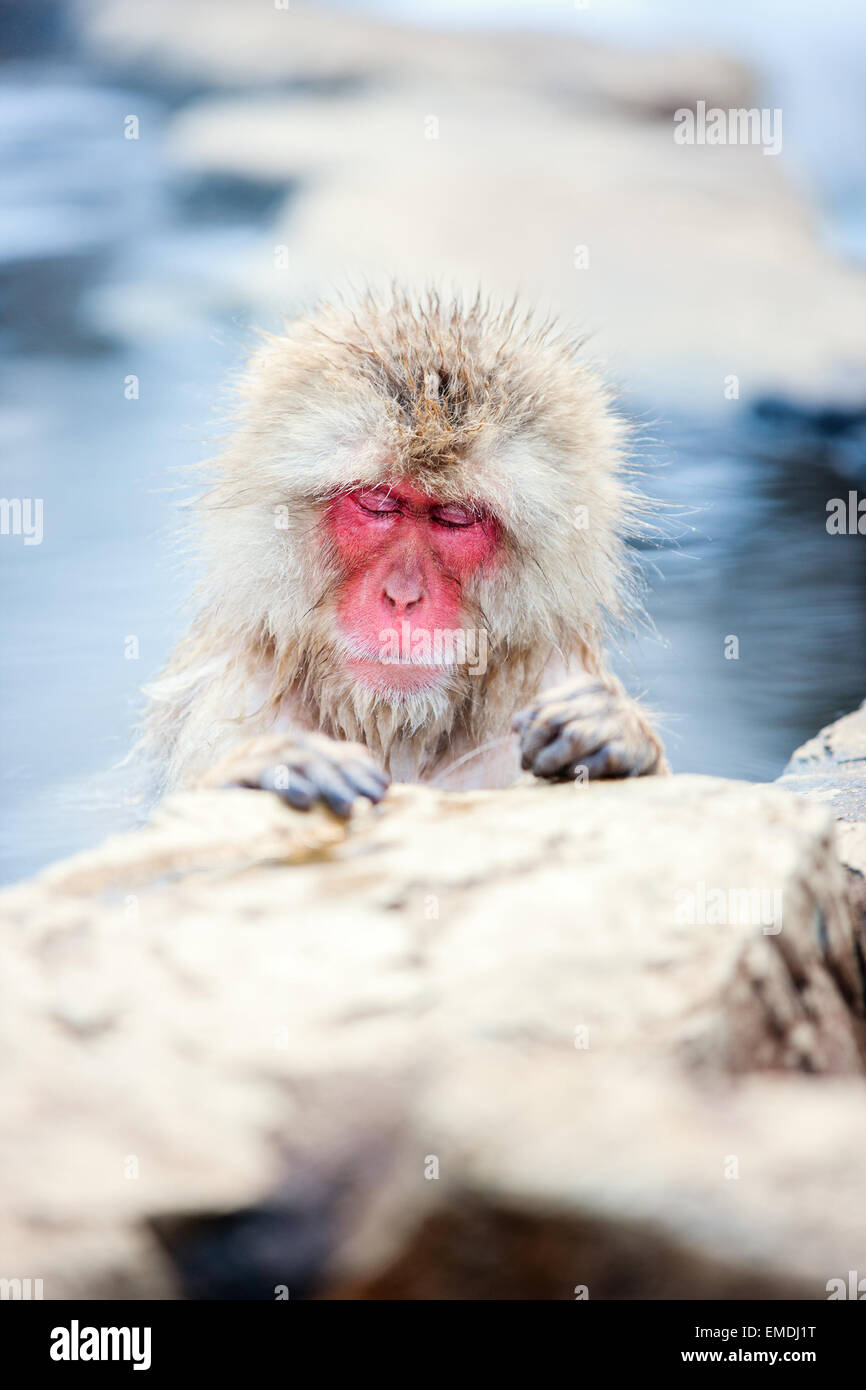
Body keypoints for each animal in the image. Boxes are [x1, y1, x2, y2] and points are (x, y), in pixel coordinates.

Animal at [144, 289, 667, 817]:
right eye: (379, 503)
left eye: (455, 517)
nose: (402, 597)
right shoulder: (229, 699)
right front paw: (271, 769)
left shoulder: (552, 679)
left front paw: (615, 732)